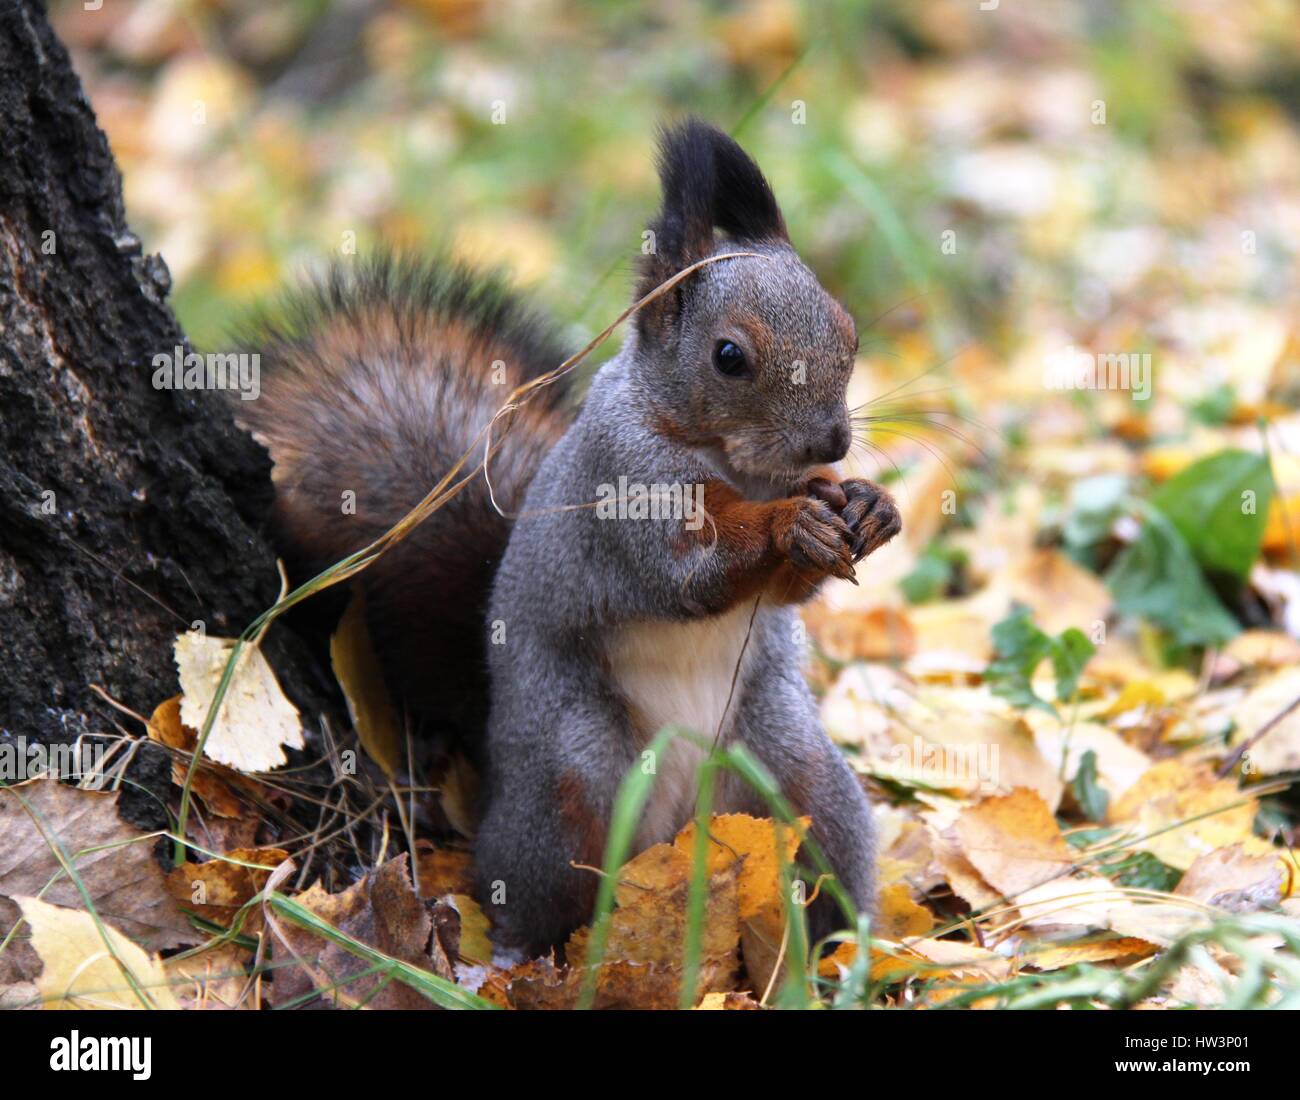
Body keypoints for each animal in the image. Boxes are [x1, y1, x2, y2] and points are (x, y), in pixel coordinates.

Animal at [237, 119, 901, 959]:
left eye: (849, 330)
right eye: (729, 357)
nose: (833, 441)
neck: (737, 466)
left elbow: (784, 587)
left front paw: (872, 509)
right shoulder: (625, 488)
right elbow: (692, 572)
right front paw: (789, 525)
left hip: (795, 772)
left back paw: (841, 949)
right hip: (573, 777)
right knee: (529, 889)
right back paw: (516, 959)